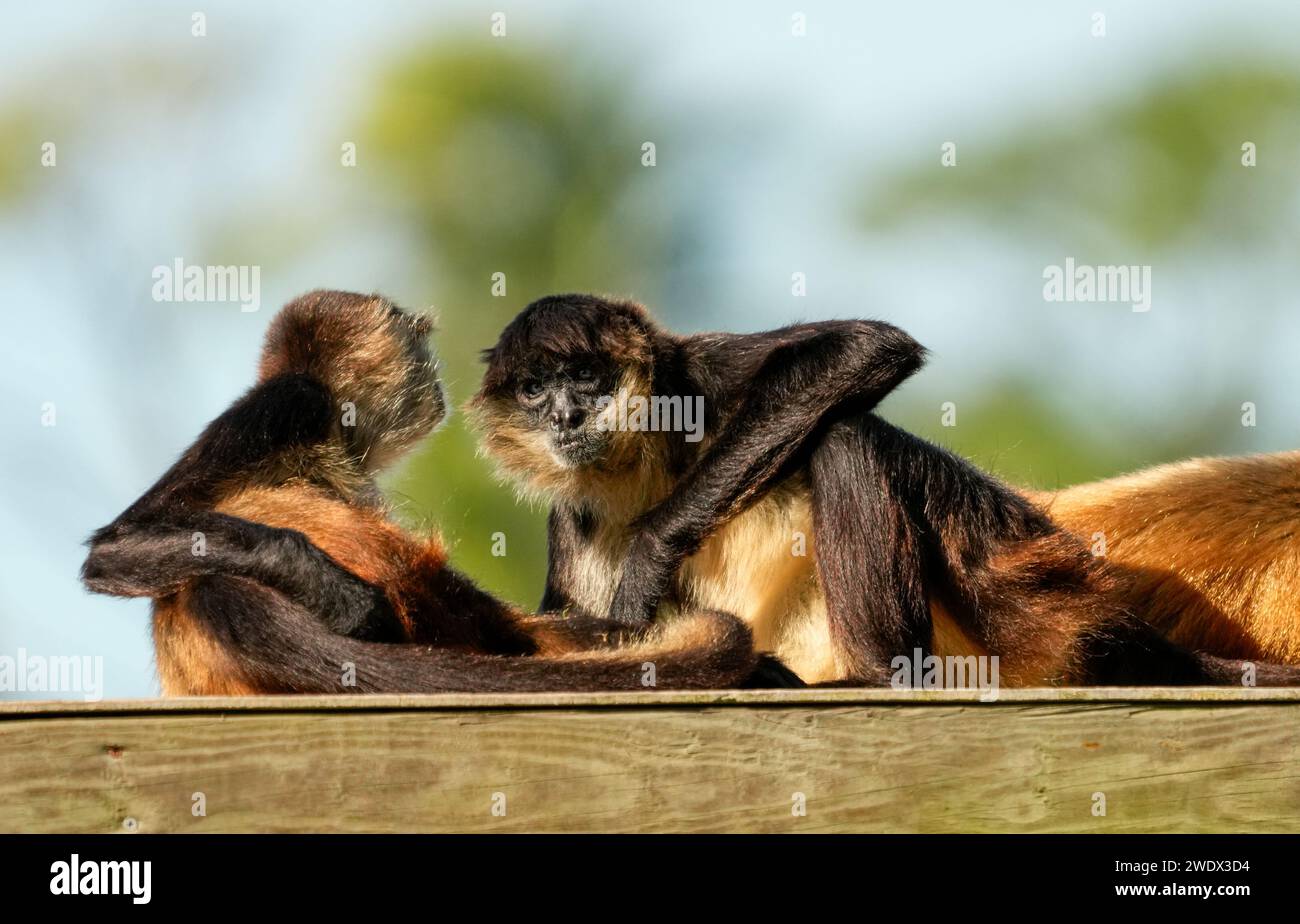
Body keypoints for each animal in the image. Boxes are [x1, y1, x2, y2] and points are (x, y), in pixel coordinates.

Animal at [467, 293, 1300, 687]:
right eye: (535, 390)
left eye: (585, 377)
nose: (566, 415)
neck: (643, 466)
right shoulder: (573, 514)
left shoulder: (691, 375)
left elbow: (866, 347)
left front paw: (652, 547)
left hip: (1016, 593)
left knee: (844, 433)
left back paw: (878, 674)